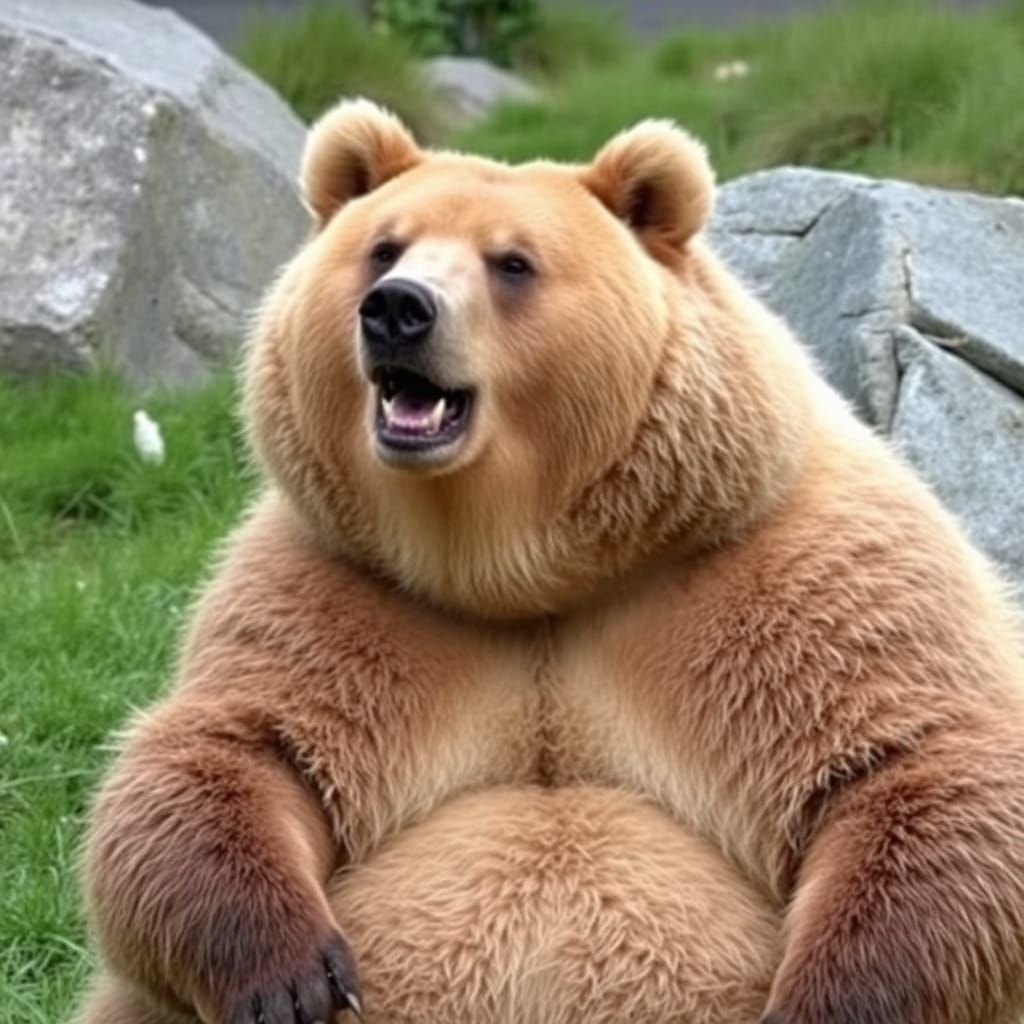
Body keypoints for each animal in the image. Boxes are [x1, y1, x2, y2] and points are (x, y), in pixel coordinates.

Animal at [74, 98, 1024, 1024]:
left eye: (513, 263)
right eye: (384, 245)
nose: (397, 308)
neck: (523, 566)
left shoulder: (789, 574)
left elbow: (920, 767)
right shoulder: (339, 587)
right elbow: (230, 752)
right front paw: (291, 978)